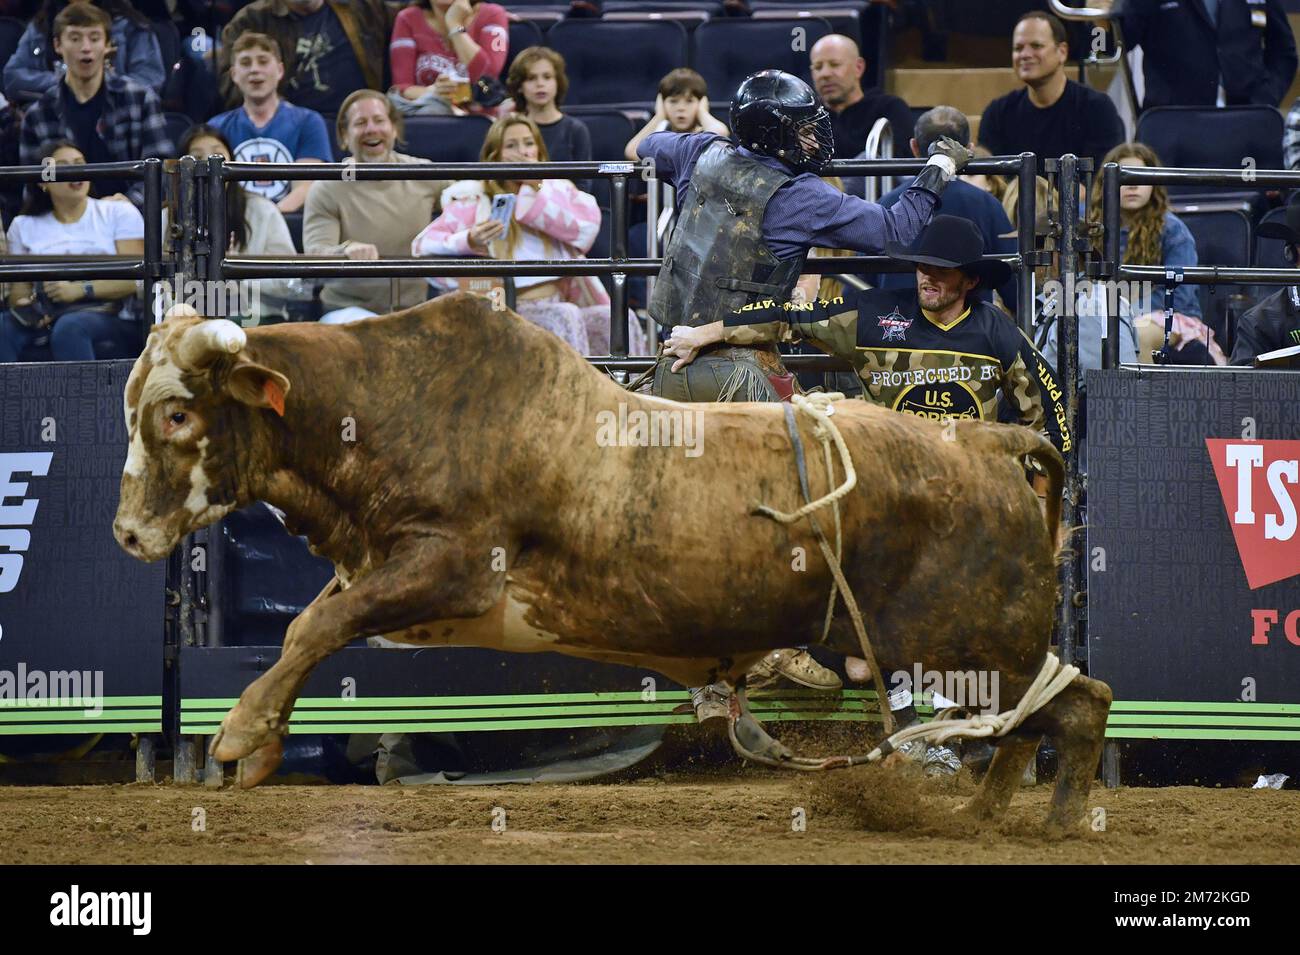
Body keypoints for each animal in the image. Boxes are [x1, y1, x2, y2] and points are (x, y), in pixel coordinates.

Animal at [113, 292, 1111, 834]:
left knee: (1071, 705)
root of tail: (987, 443)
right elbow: (312, 625)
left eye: (177, 412)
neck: (401, 404)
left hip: (965, 640)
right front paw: (259, 738)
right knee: (1047, 713)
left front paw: (240, 736)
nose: (126, 532)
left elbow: (314, 625)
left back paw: (1050, 821)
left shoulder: (454, 566)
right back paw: (989, 817)